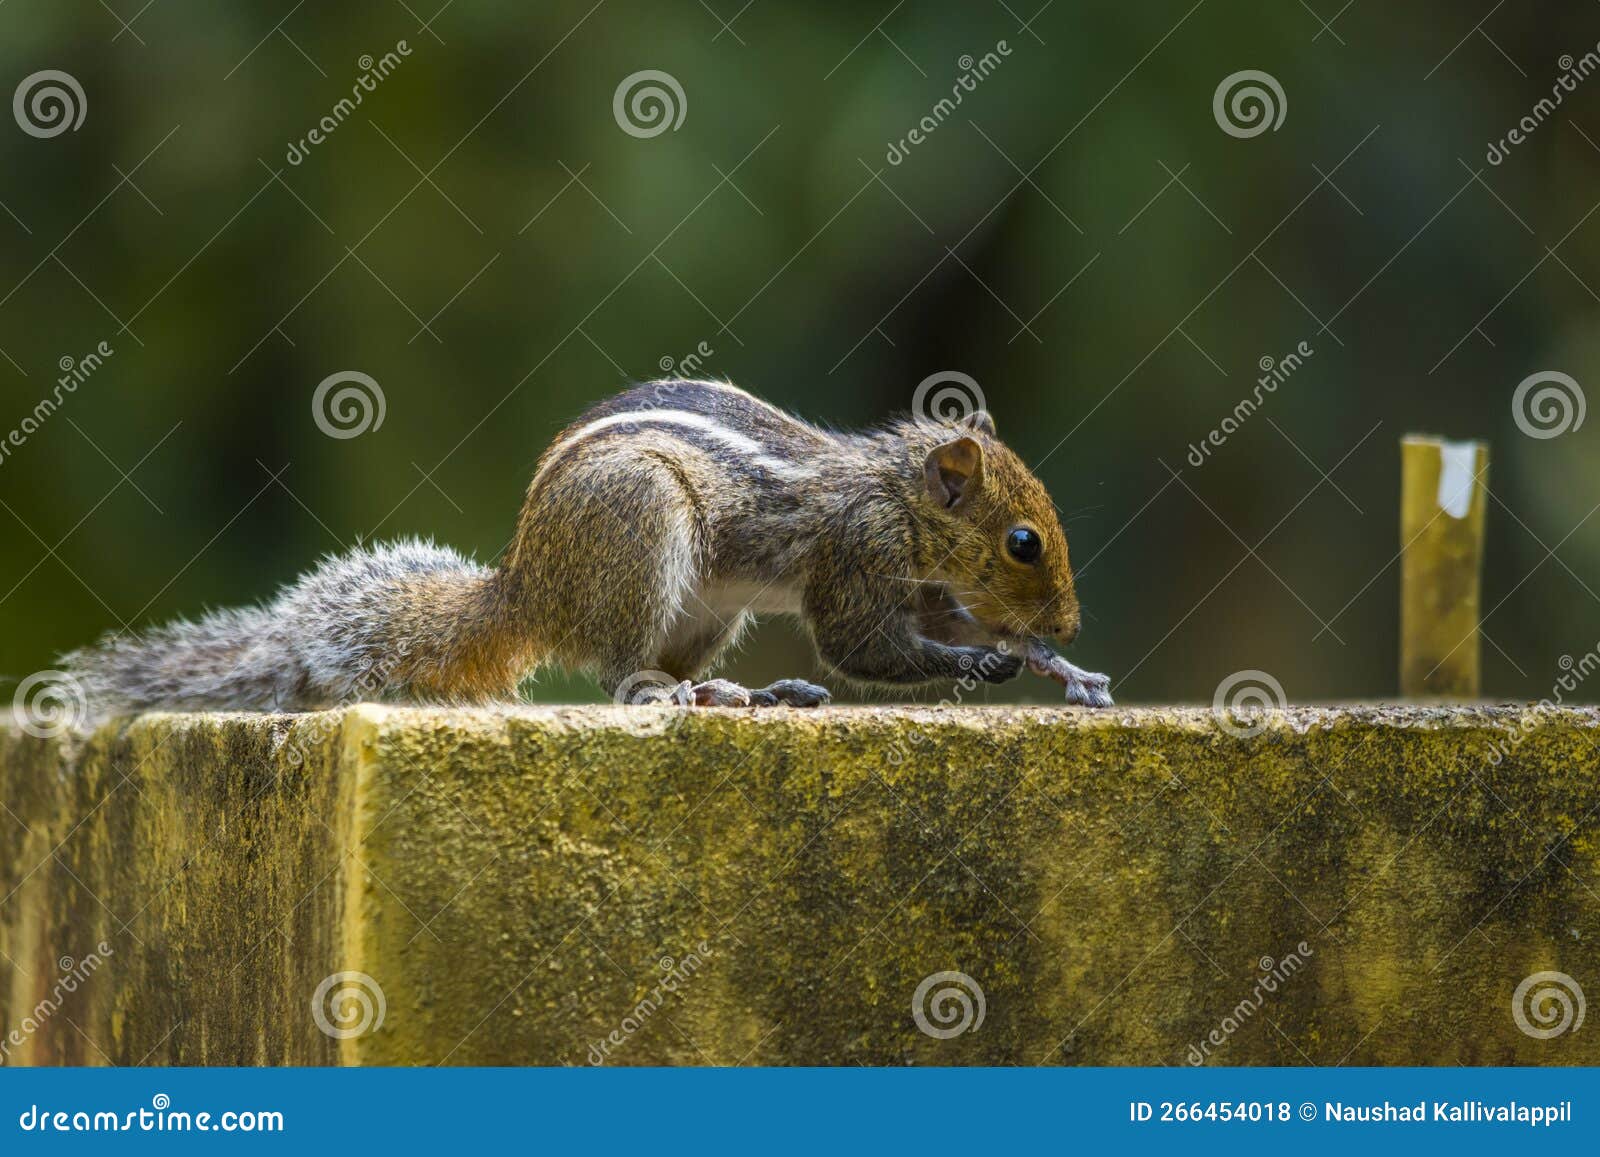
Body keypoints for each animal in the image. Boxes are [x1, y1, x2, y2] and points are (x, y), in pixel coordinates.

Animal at [65, 379, 1112, 716]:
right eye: (1024, 542)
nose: (1070, 619)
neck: (894, 493)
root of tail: (527, 589)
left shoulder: (919, 577)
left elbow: (940, 620)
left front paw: (1051, 662)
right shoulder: (855, 554)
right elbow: (864, 646)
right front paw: (985, 661)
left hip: (706, 609)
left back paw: (749, 690)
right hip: (642, 531)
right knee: (621, 676)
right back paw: (694, 696)